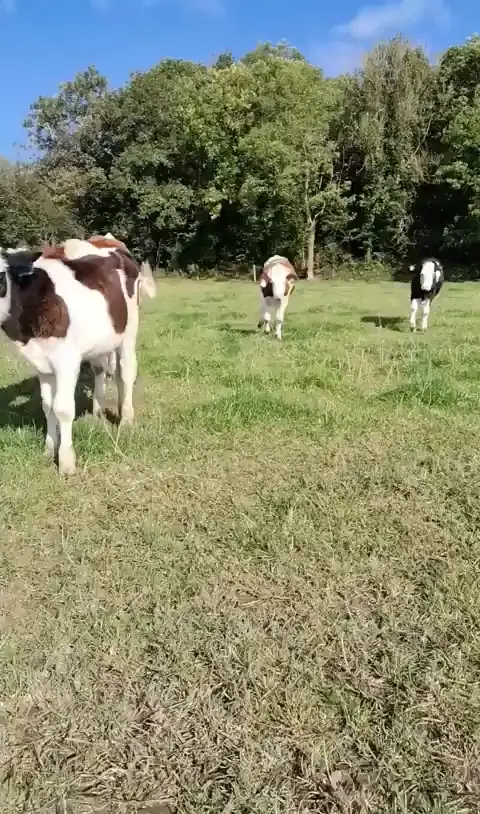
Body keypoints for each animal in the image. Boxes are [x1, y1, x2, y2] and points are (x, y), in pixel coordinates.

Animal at [0, 238, 155, 475]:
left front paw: (66, 461)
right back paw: (99, 411)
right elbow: (48, 407)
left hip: (128, 331)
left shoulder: (67, 362)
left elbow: (63, 409)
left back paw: (126, 418)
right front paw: (49, 449)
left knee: (126, 372)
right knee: (103, 369)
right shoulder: (41, 366)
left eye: (0, 276)